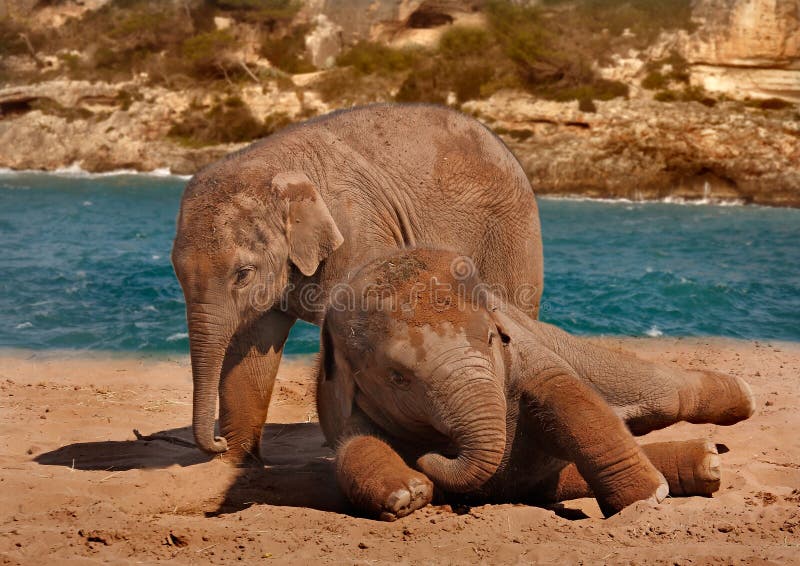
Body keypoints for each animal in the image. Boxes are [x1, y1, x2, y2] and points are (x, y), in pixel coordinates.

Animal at [171, 104, 543, 463]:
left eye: (243, 273)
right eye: (176, 271)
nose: (216, 442)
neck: (272, 169)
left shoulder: (356, 234)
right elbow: (252, 348)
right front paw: (233, 463)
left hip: (512, 235)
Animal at [316, 248, 756, 520]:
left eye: (491, 338)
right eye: (398, 377)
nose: (429, 458)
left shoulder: (525, 348)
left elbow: (564, 393)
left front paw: (647, 498)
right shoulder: (350, 405)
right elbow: (354, 445)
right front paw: (408, 494)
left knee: (662, 393)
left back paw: (742, 399)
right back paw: (705, 464)